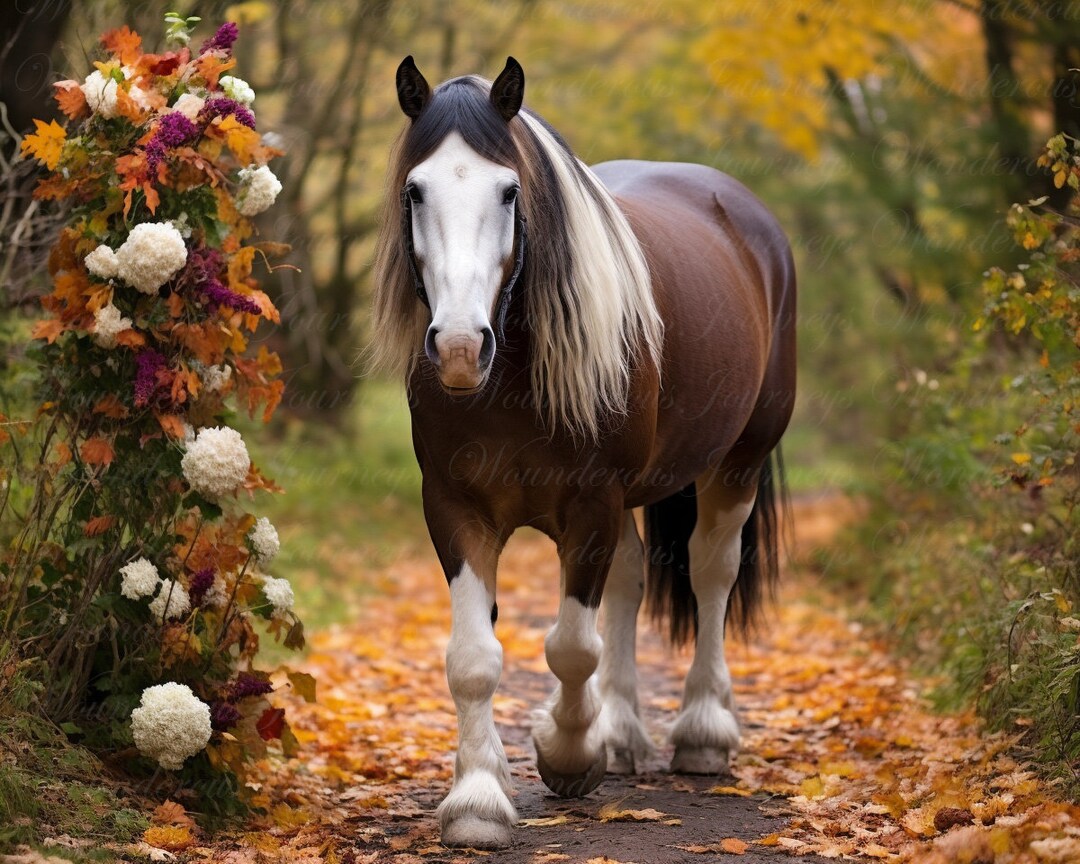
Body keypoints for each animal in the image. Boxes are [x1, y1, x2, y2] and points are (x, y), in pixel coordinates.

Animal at [370, 56, 796, 850]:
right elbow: (474, 659)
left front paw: (568, 753)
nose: (460, 347)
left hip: (737, 465)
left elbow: (571, 647)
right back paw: (623, 733)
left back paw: (702, 733)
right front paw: (479, 797)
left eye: (509, 191)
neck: (509, 379)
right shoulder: (455, 507)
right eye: (416, 189)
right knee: (630, 579)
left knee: (711, 573)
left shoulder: (591, 504)